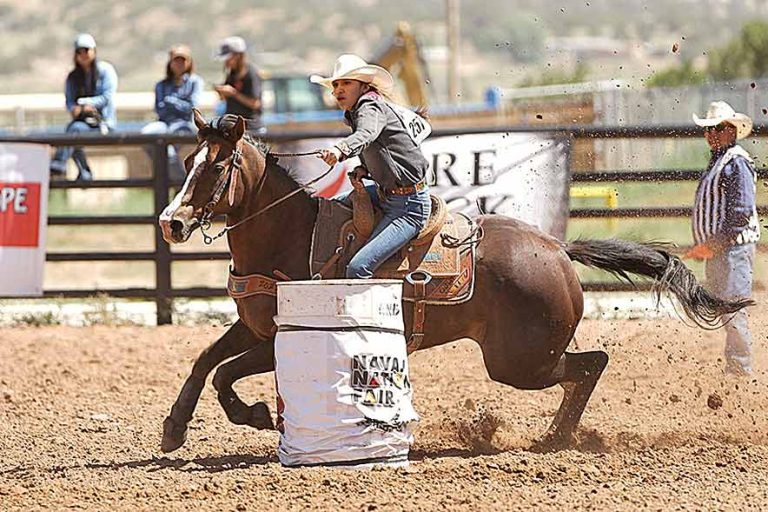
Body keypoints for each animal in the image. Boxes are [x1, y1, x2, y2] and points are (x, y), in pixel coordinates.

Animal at [157, 111, 751, 454]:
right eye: (186, 160)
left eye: (215, 168)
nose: (171, 222)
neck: (292, 234)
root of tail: (557, 249)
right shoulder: (254, 328)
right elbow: (204, 364)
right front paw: (174, 430)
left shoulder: (282, 338)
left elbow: (224, 375)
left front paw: (256, 416)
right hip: (522, 358)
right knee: (586, 367)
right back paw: (554, 436)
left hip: (518, 361)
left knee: (590, 364)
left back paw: (555, 439)